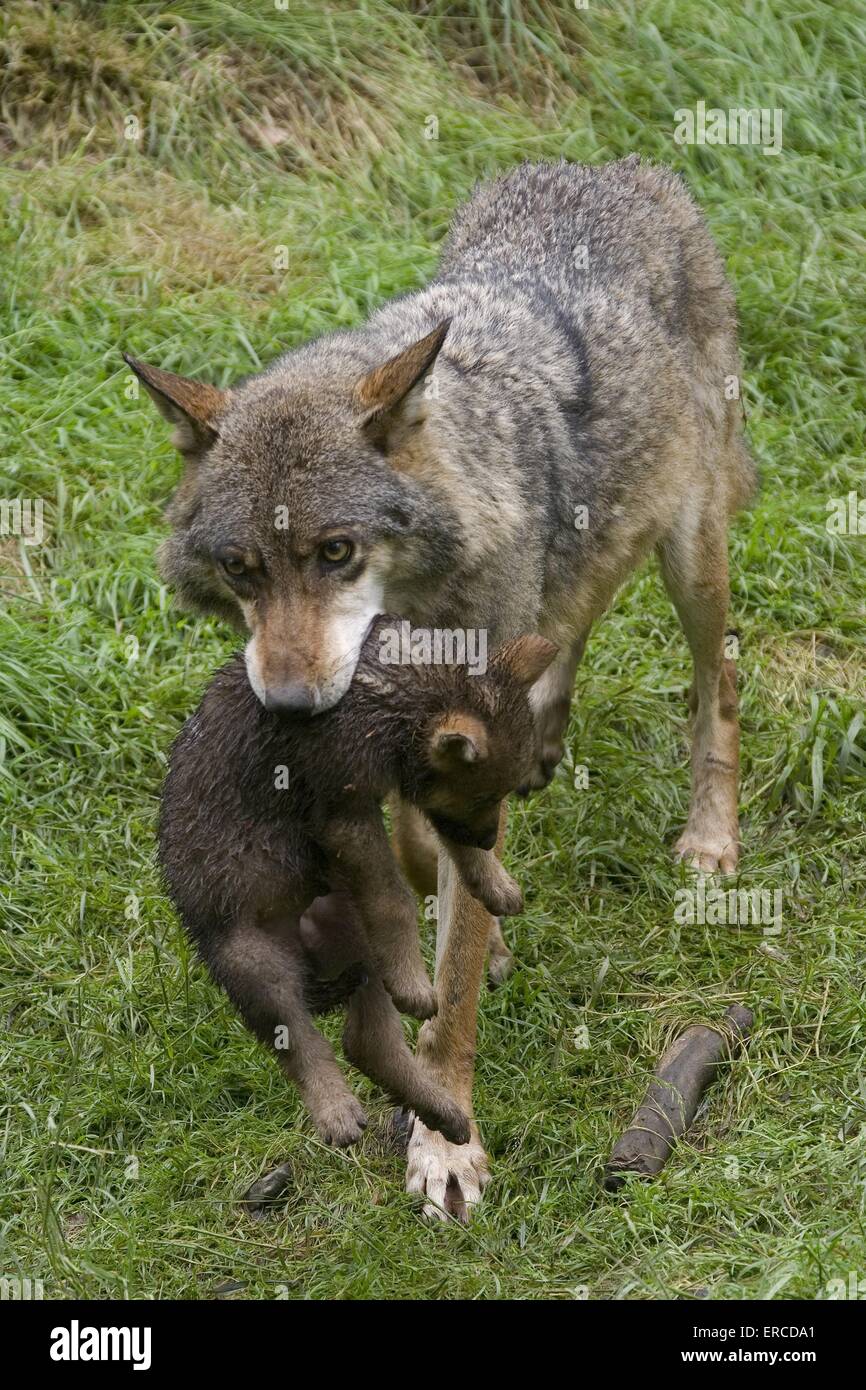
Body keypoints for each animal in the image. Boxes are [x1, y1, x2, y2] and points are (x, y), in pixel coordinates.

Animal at [159, 616, 555, 1148]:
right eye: (486, 795)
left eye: (506, 794)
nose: (495, 837)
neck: (396, 690)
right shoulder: (344, 814)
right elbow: (395, 898)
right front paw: (414, 983)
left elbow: (455, 850)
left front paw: (494, 885)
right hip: (255, 964)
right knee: (300, 1043)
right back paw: (337, 1110)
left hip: (352, 933)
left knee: (364, 1043)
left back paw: (444, 1113)